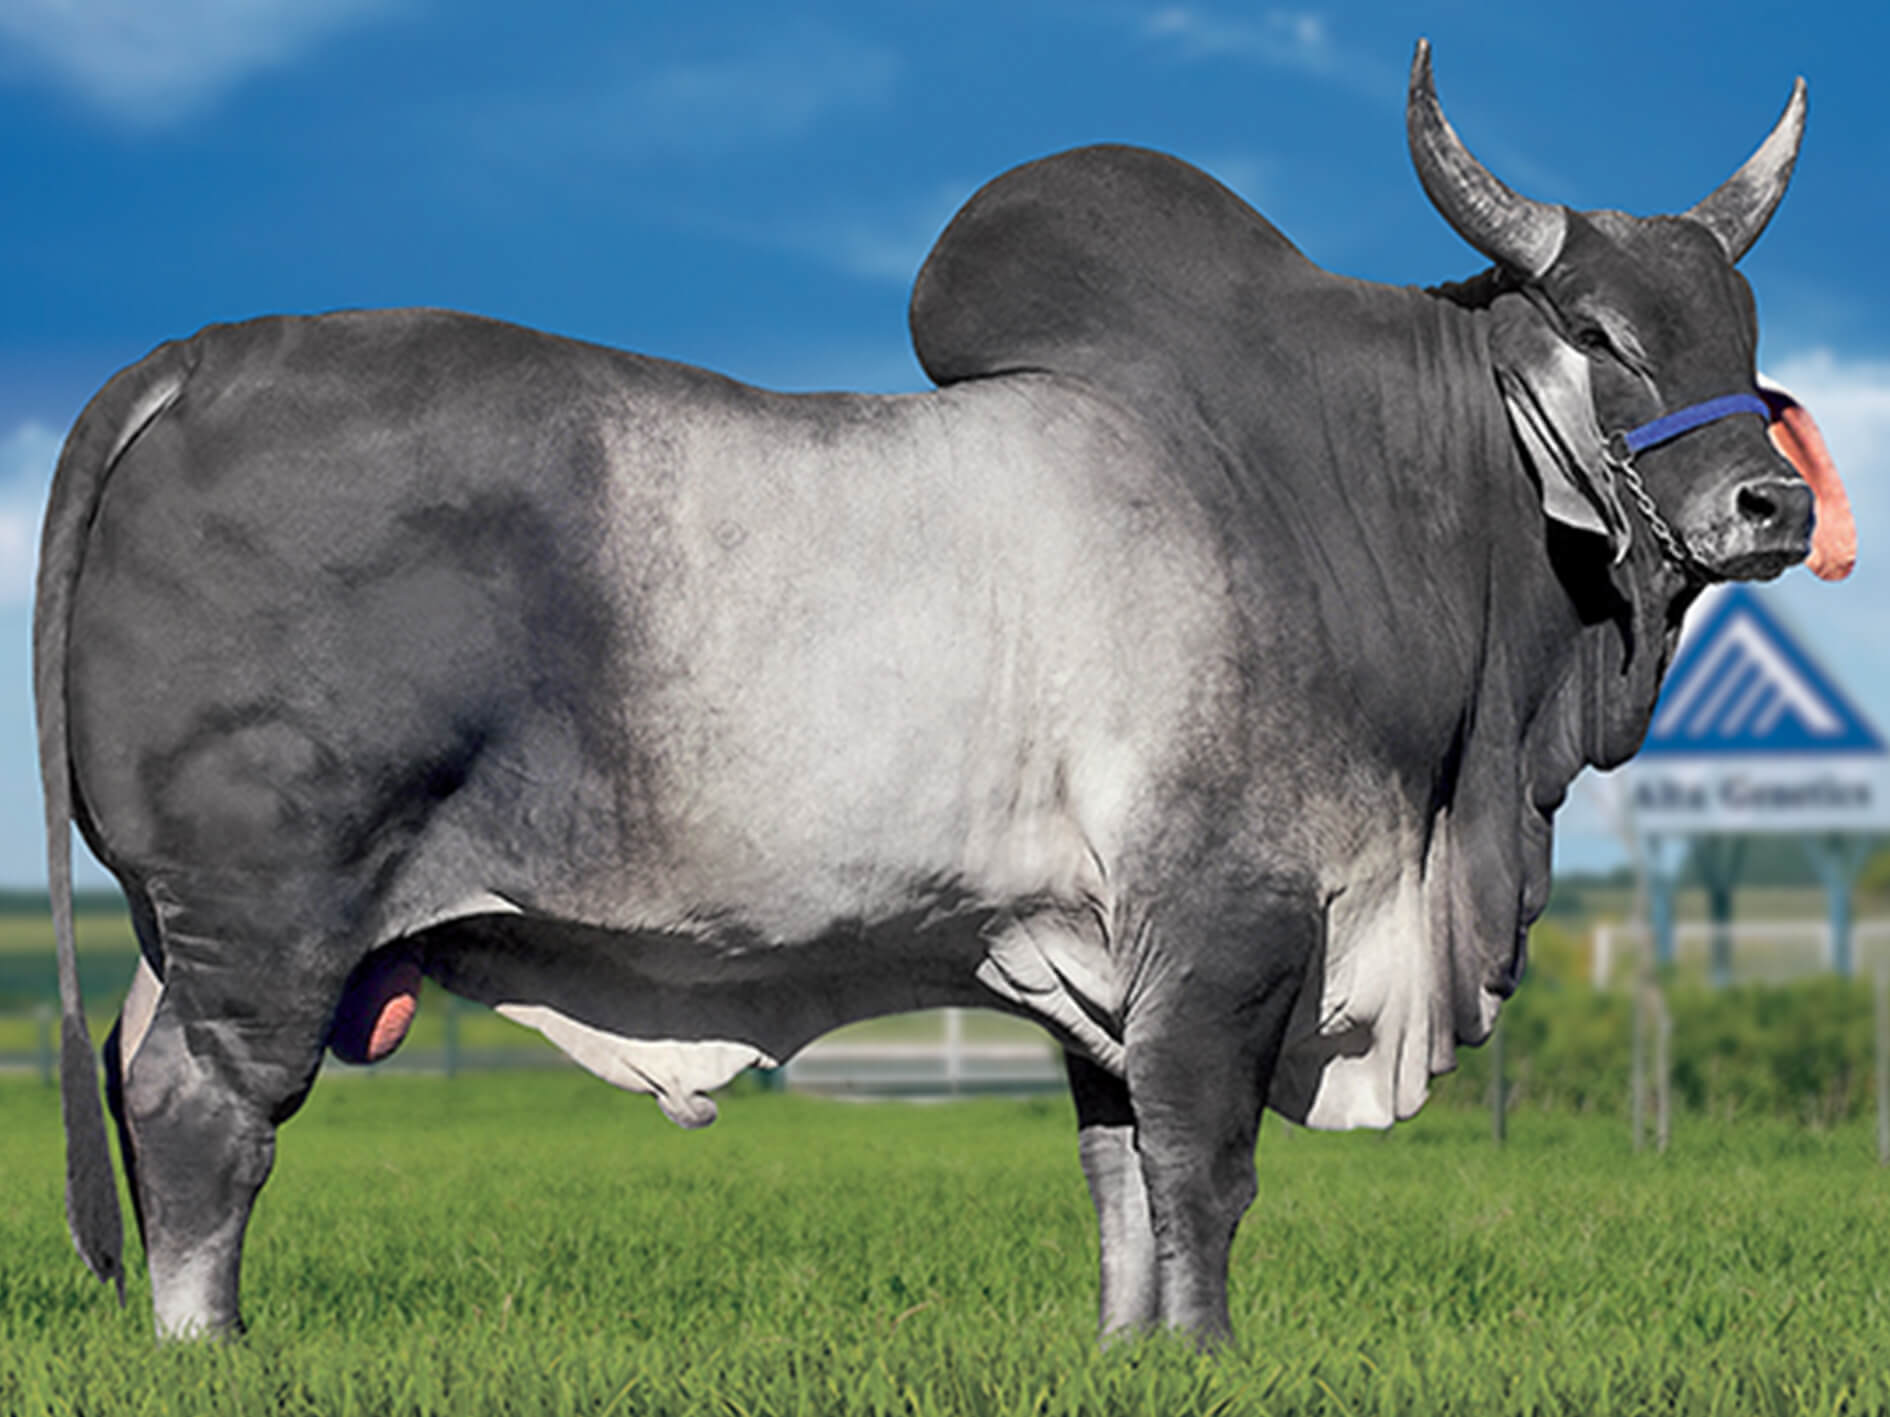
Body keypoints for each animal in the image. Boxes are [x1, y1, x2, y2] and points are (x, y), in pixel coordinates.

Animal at [36, 40, 1852, 1345]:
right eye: (1599, 331)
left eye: (1743, 328)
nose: (1770, 503)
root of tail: (194, 358)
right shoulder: (1227, 919)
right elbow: (1203, 1164)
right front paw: (1206, 1355)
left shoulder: (1091, 961)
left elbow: (1120, 1175)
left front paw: (1130, 1354)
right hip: (269, 911)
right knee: (203, 1116)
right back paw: (210, 1350)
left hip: (192, 926)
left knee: (140, 1081)